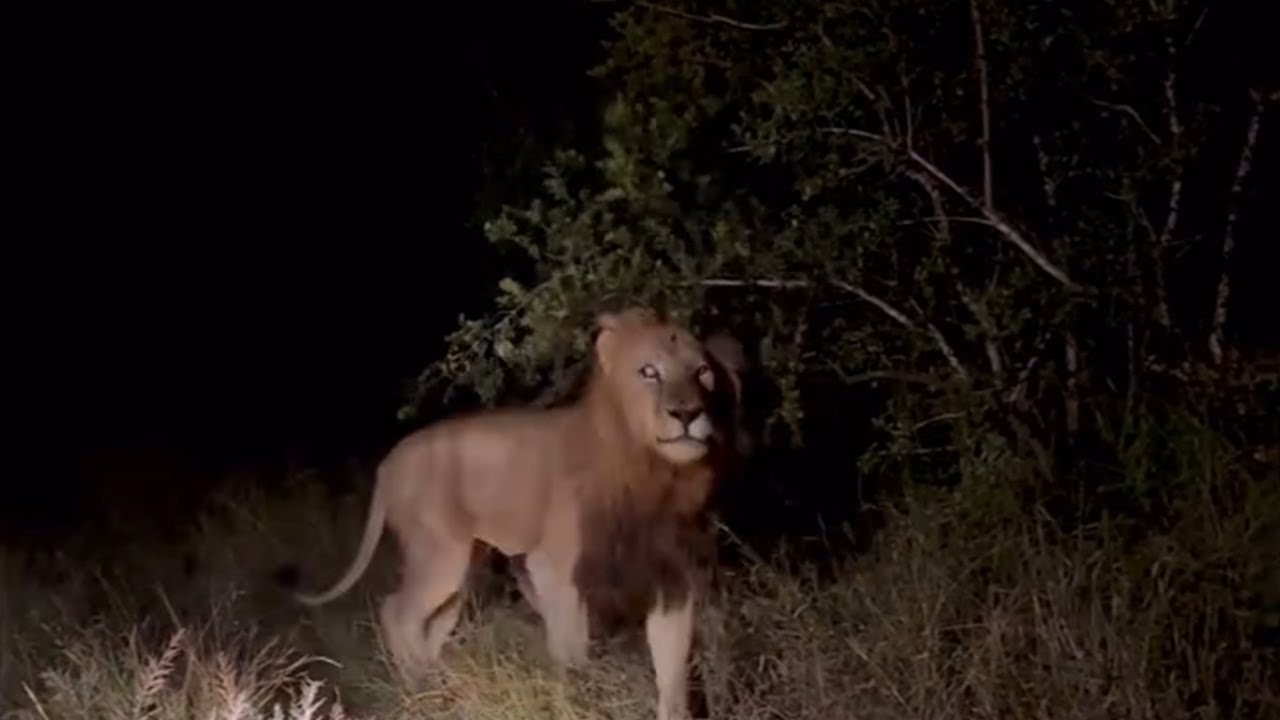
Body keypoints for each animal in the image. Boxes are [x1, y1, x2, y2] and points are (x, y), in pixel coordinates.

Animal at [294, 307, 746, 720]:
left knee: (430, 625)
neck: (656, 473)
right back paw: (422, 693)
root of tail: (387, 463)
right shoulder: (556, 569)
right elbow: (572, 653)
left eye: (703, 372)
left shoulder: (671, 580)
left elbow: (672, 676)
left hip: (460, 568)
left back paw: (443, 690)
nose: (687, 414)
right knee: (397, 613)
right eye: (649, 372)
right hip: (438, 553)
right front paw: (580, 702)